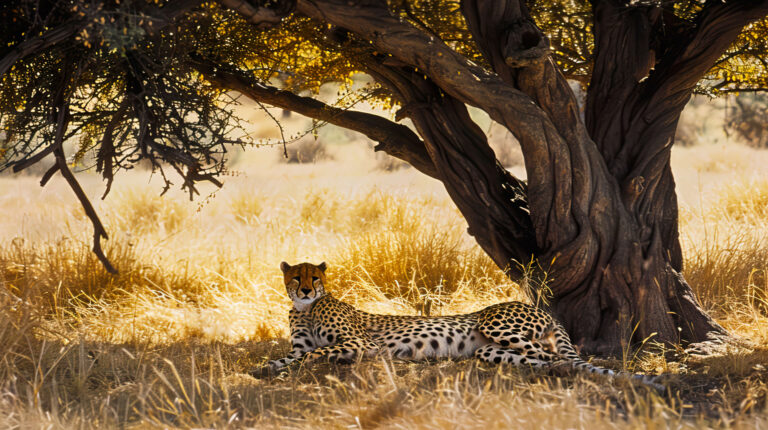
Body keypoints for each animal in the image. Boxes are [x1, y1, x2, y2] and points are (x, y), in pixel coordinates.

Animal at [256, 261, 662, 391]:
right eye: (295, 277)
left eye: (314, 276)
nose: (306, 289)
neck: (306, 309)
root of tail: (531, 304)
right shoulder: (299, 344)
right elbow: (288, 357)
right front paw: (262, 369)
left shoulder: (358, 345)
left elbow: (314, 354)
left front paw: (298, 368)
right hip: (491, 350)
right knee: (546, 360)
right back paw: (554, 374)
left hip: (498, 325)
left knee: (556, 355)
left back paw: (566, 373)